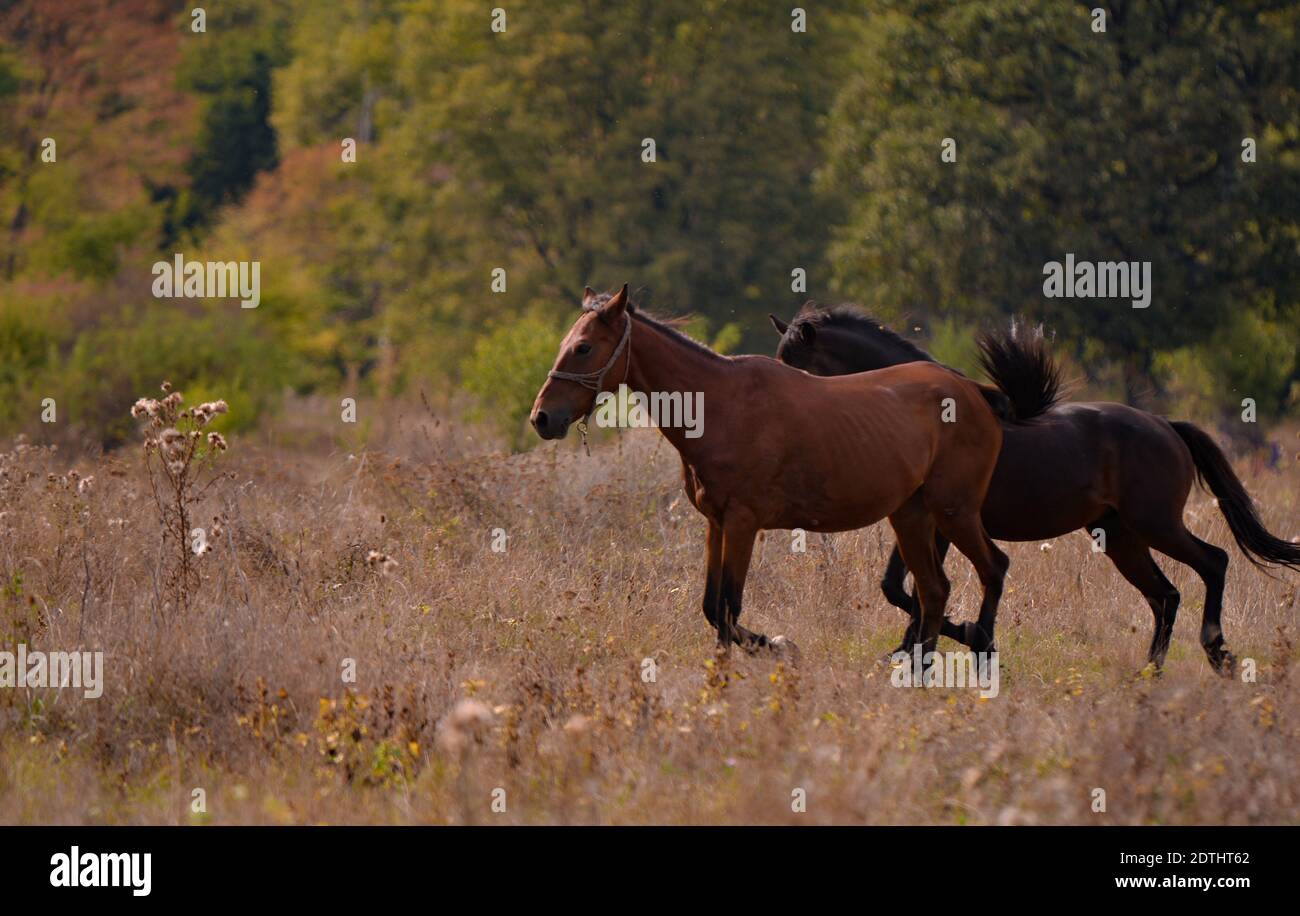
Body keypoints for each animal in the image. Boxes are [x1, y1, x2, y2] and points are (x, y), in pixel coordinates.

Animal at [530, 285, 1010, 665]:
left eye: (584, 347)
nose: (542, 417)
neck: (720, 404)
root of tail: (975, 393)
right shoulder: (717, 523)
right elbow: (713, 608)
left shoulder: (744, 522)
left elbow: (728, 608)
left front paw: (759, 659)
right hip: (912, 517)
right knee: (934, 591)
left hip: (955, 513)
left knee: (992, 569)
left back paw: (980, 652)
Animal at [770, 305, 1300, 675]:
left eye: (798, 366)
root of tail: (1166, 425)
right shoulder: (927, 522)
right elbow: (900, 588)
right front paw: (916, 647)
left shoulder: (943, 522)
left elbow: (917, 589)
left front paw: (956, 638)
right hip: (1120, 536)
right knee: (1166, 595)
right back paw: (1149, 672)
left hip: (1155, 523)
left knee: (1213, 562)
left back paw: (1216, 653)